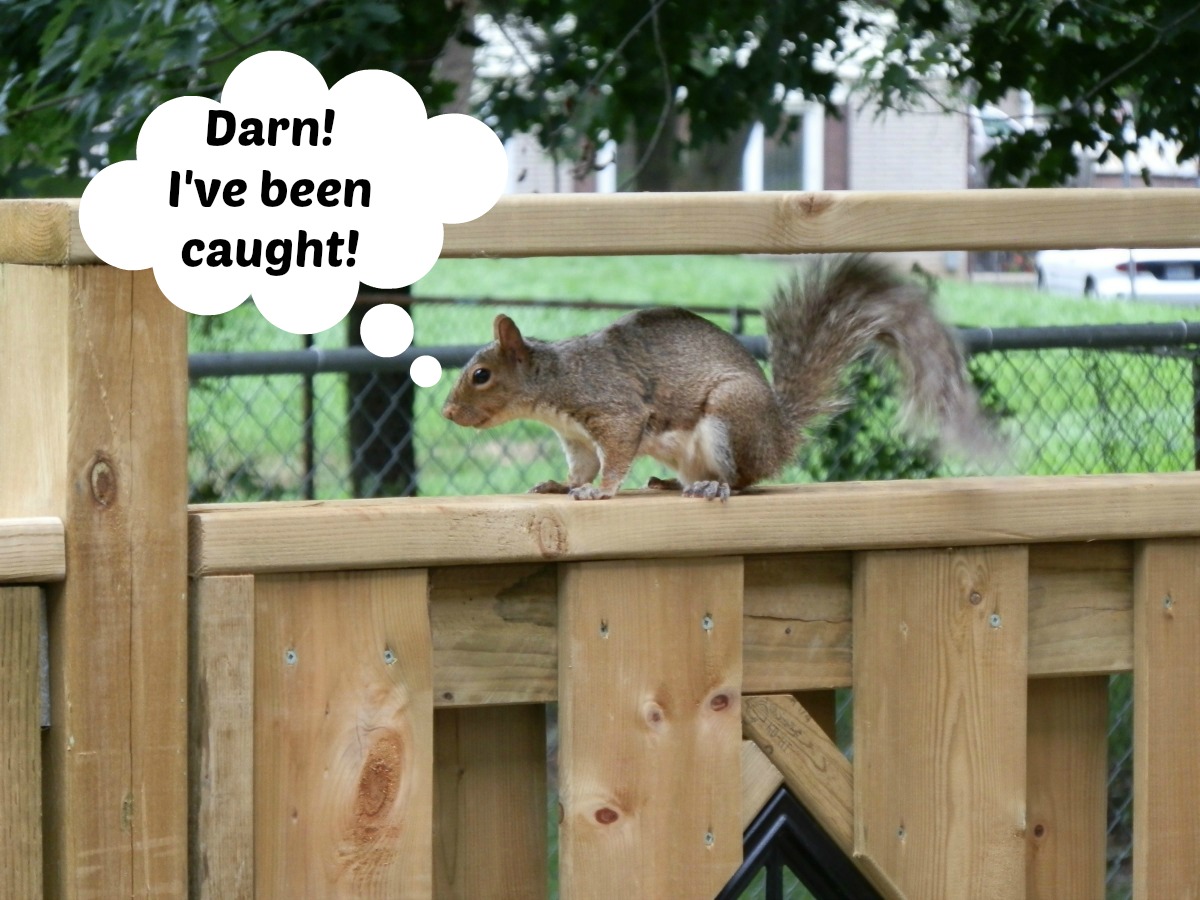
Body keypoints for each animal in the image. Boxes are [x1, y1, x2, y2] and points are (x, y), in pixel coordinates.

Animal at [441, 254, 999, 501]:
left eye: (481, 375)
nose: (446, 411)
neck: (557, 379)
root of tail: (779, 435)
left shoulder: (614, 410)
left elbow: (615, 457)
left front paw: (600, 492)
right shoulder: (576, 436)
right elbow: (582, 466)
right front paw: (562, 484)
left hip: (730, 417)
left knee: (744, 479)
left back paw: (714, 486)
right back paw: (674, 482)